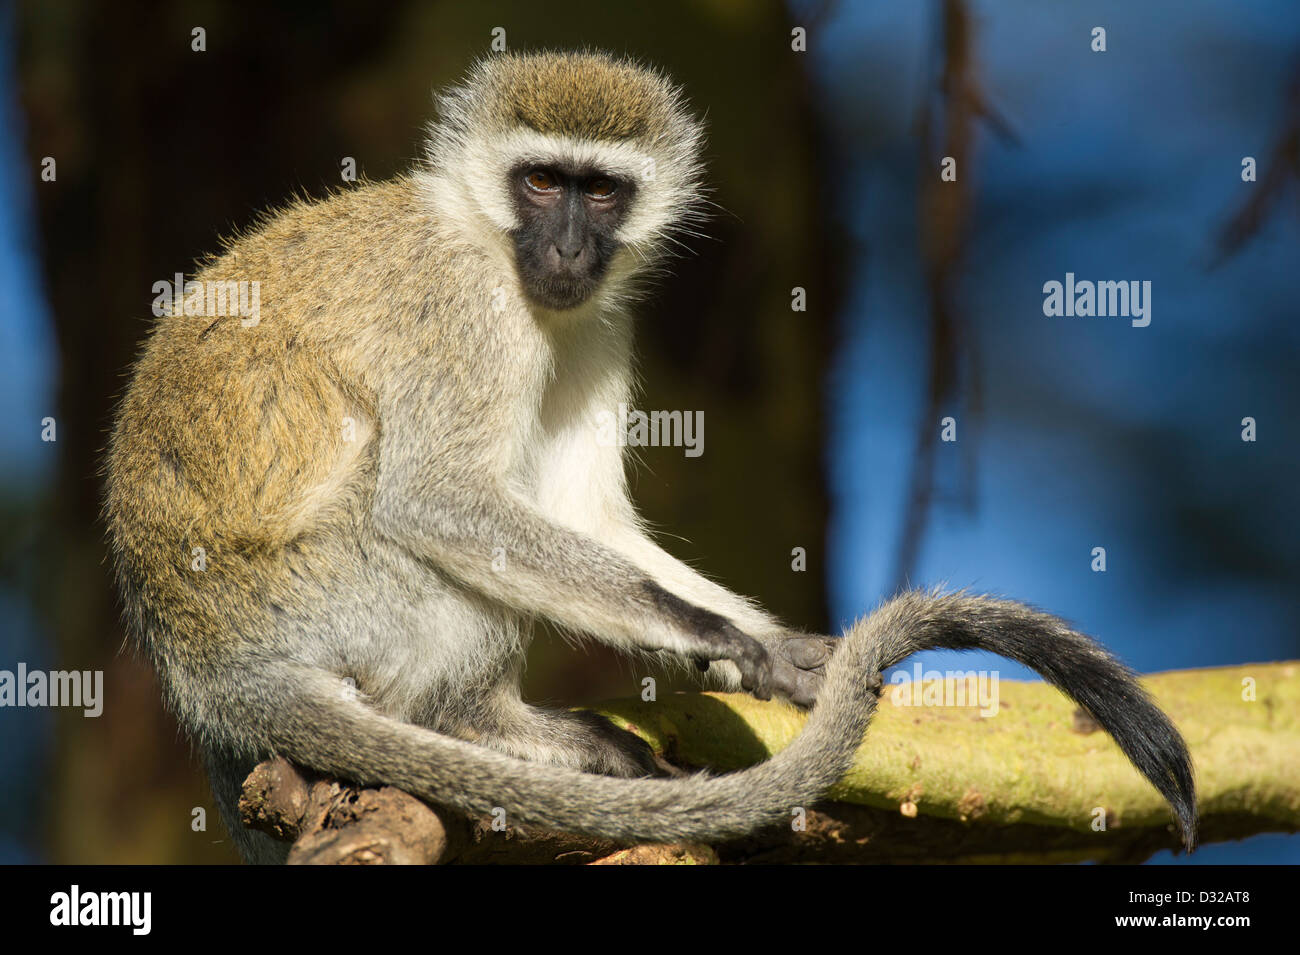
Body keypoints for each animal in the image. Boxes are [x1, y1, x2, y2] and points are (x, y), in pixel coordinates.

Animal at [103, 50, 1197, 864]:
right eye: (542, 181)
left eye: (601, 192)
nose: (565, 250)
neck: (485, 238)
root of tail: (207, 666)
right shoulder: (465, 305)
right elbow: (436, 498)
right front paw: (717, 634)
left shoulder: (595, 317)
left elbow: (586, 517)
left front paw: (787, 648)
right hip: (332, 595)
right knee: (429, 539)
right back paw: (475, 720)